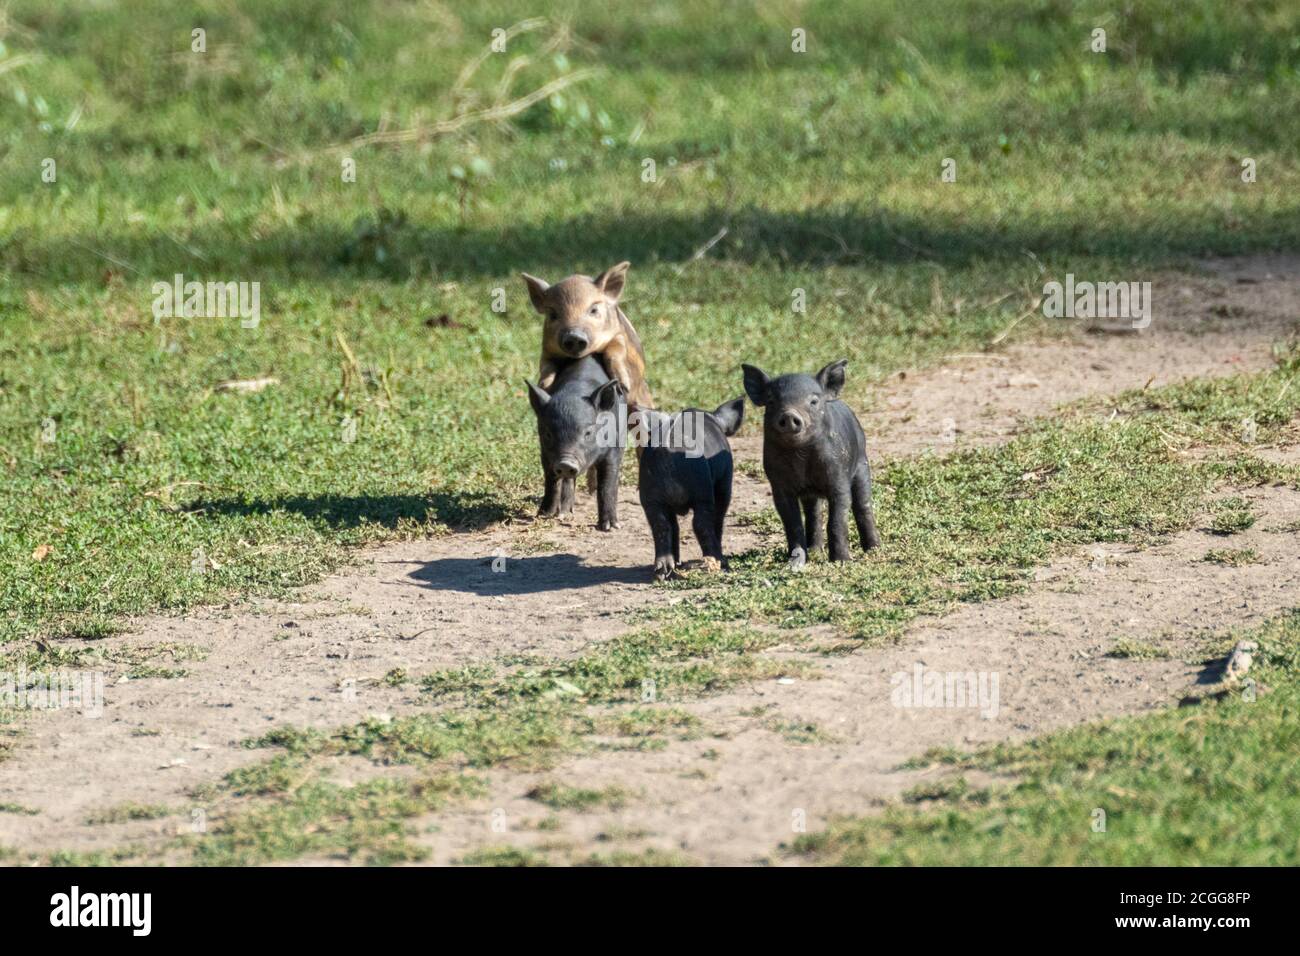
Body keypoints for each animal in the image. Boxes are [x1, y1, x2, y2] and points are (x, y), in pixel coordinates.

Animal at [521, 261, 654, 409]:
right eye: (552, 315)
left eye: (593, 310)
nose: (573, 335)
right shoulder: (547, 350)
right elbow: (546, 366)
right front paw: (543, 386)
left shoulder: (618, 335)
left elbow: (615, 351)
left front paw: (623, 386)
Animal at [525, 355, 625, 530]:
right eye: (548, 434)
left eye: (588, 433)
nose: (565, 463)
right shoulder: (545, 454)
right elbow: (551, 482)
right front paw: (543, 515)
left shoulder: (613, 449)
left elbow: (607, 484)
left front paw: (610, 527)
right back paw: (564, 513)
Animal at [634, 398, 745, 580]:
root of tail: (666, 454)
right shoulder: (725, 481)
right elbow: (719, 517)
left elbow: (673, 525)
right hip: (702, 491)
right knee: (701, 522)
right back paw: (720, 562)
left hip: (649, 495)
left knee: (662, 525)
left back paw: (663, 571)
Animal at [741, 359, 880, 568]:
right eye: (771, 401)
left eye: (813, 401)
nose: (789, 414)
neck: (801, 458)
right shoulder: (779, 486)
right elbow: (792, 523)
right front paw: (795, 562)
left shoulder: (838, 477)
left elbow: (837, 521)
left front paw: (842, 562)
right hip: (811, 494)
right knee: (814, 513)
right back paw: (815, 551)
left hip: (862, 465)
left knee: (862, 506)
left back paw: (874, 550)